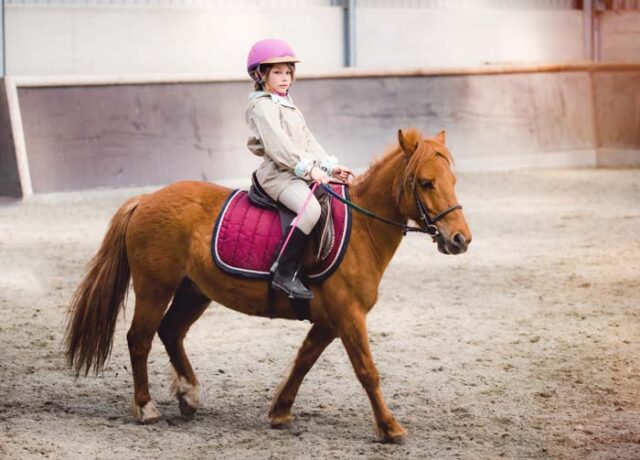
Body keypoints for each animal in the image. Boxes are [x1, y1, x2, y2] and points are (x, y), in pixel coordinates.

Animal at [64, 127, 471, 443]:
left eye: (453, 181)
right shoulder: (349, 316)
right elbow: (367, 371)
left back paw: (189, 396)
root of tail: (146, 198)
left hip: (194, 291)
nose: (460, 240)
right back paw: (146, 407)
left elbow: (303, 361)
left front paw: (280, 412)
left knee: (171, 332)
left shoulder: (329, 321)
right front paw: (390, 428)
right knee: (140, 338)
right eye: (426, 183)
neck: (363, 230)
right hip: (155, 287)